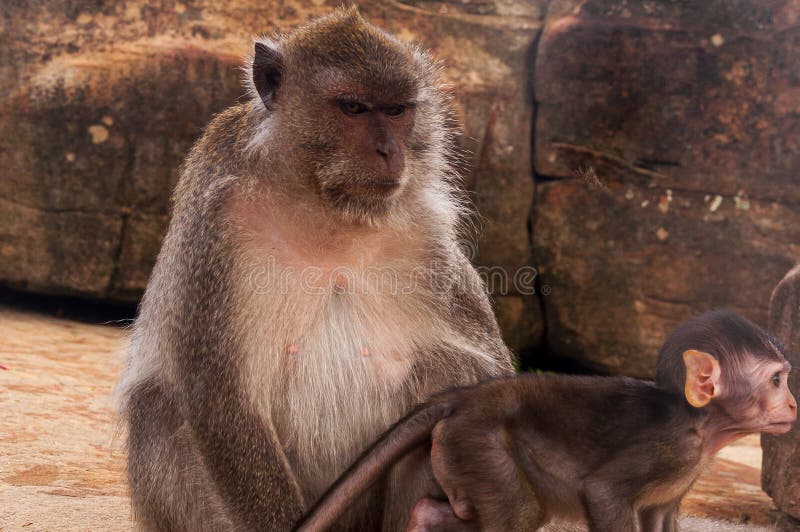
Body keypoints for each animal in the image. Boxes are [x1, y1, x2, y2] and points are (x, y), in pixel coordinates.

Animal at [115, 7, 514, 531]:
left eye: (397, 110)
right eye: (353, 108)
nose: (390, 151)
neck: (327, 210)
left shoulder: (427, 234)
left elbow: (491, 379)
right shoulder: (218, 224)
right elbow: (222, 398)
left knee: (448, 369)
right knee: (157, 405)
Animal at [294, 310, 797, 532]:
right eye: (777, 380)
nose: (793, 405)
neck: (701, 425)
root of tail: (466, 397)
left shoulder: (677, 480)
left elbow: (659, 518)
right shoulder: (666, 449)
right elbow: (603, 493)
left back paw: (422, 519)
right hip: (478, 444)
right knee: (518, 514)